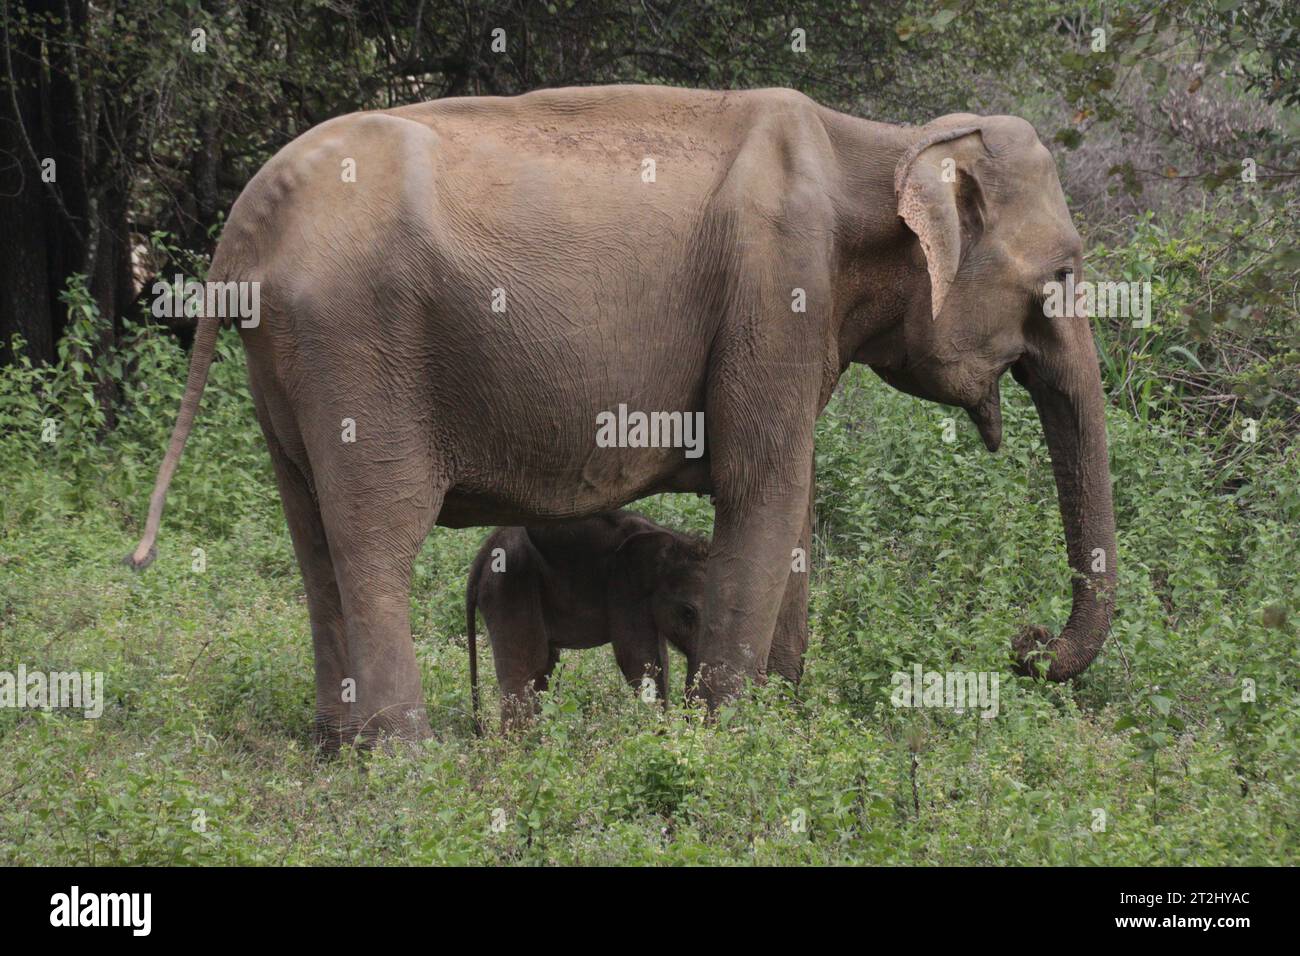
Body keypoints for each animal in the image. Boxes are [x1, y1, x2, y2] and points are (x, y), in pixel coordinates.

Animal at [464, 511, 708, 731]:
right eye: (688, 612)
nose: (691, 717)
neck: (673, 540)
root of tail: (483, 554)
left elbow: (659, 659)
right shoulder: (624, 586)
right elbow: (638, 658)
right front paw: (660, 734)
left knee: (544, 668)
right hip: (510, 585)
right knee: (526, 670)